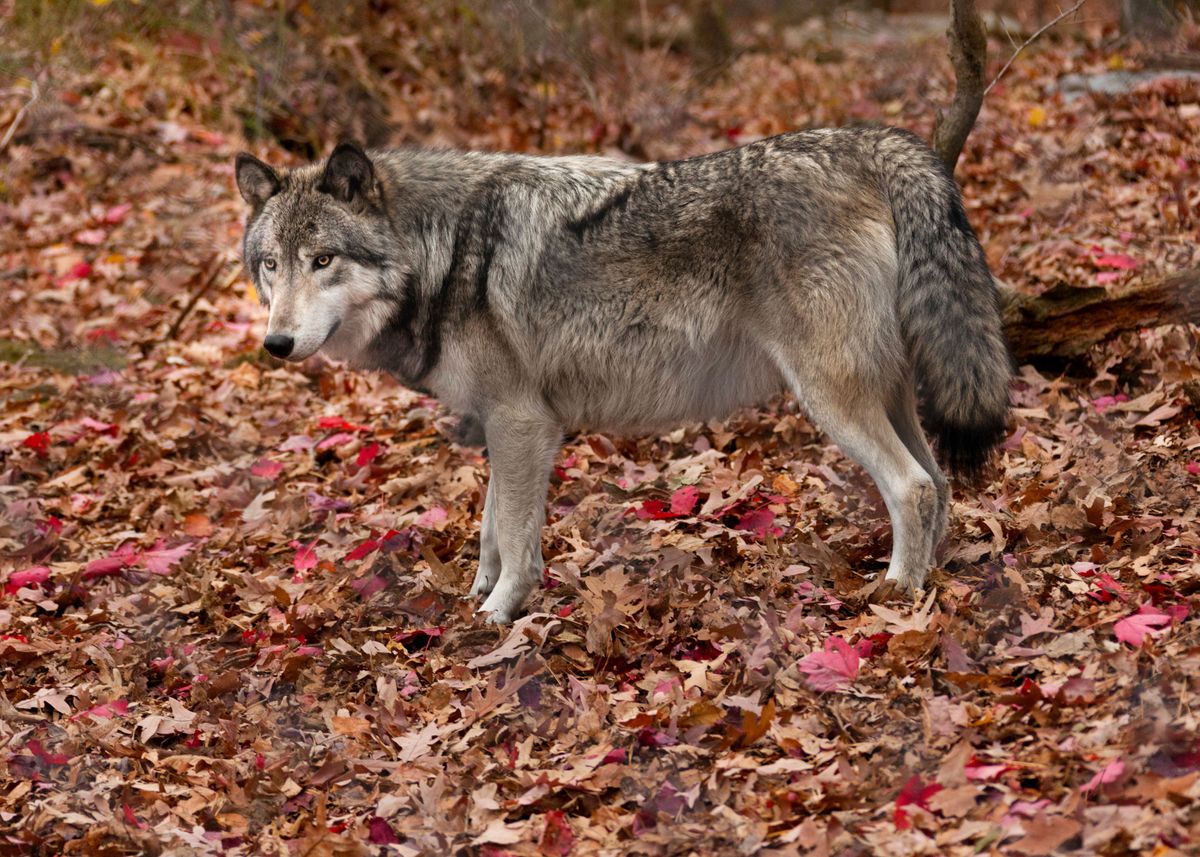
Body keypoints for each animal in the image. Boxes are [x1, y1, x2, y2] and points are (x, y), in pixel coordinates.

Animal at [234, 126, 1011, 623]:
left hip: (830, 398)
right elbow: (492, 527)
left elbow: (515, 535)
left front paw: (499, 615)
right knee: (940, 482)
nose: (276, 341)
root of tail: (868, 142)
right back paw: (933, 578)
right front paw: (481, 594)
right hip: (883, 393)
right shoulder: (506, 425)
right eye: (271, 264)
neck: (445, 254)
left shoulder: (524, 422)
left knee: (912, 487)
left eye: (324, 260)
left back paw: (897, 595)